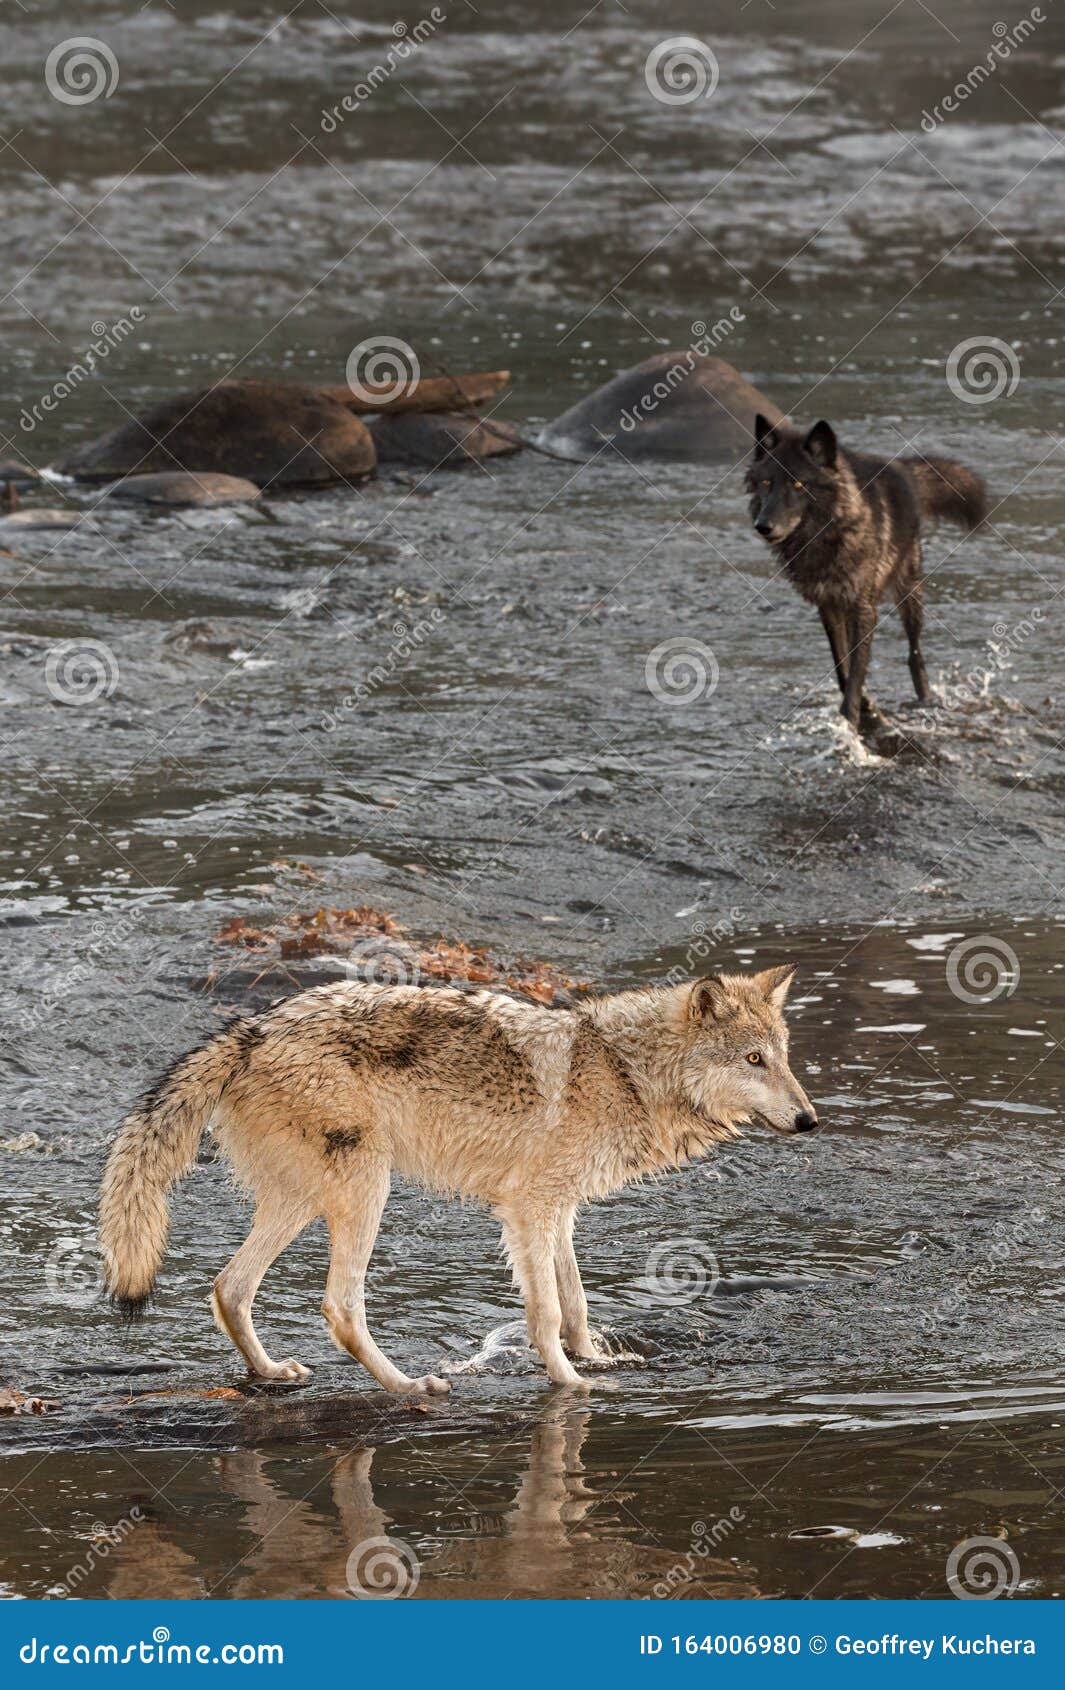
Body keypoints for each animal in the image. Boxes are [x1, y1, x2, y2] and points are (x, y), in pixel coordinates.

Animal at [99, 968, 817, 1393]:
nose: (810, 1119)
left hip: (304, 1201)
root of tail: (251, 1029)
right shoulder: (528, 1209)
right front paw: (569, 1382)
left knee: (229, 1288)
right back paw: (408, 1387)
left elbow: (576, 1301)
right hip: (366, 1191)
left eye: (783, 1058)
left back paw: (274, 1372)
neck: (624, 1070)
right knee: (339, 1307)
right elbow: (545, 1310)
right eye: (753, 1060)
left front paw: (594, 1358)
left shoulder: (558, 1210)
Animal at [745, 415, 987, 726]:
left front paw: (851, 715)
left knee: (915, 652)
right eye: (766, 482)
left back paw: (925, 697)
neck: (825, 537)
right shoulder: (829, 606)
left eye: (798, 484)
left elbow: (857, 667)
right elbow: (842, 665)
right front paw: (864, 704)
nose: (763, 526)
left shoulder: (863, 607)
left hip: (909, 593)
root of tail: (901, 467)